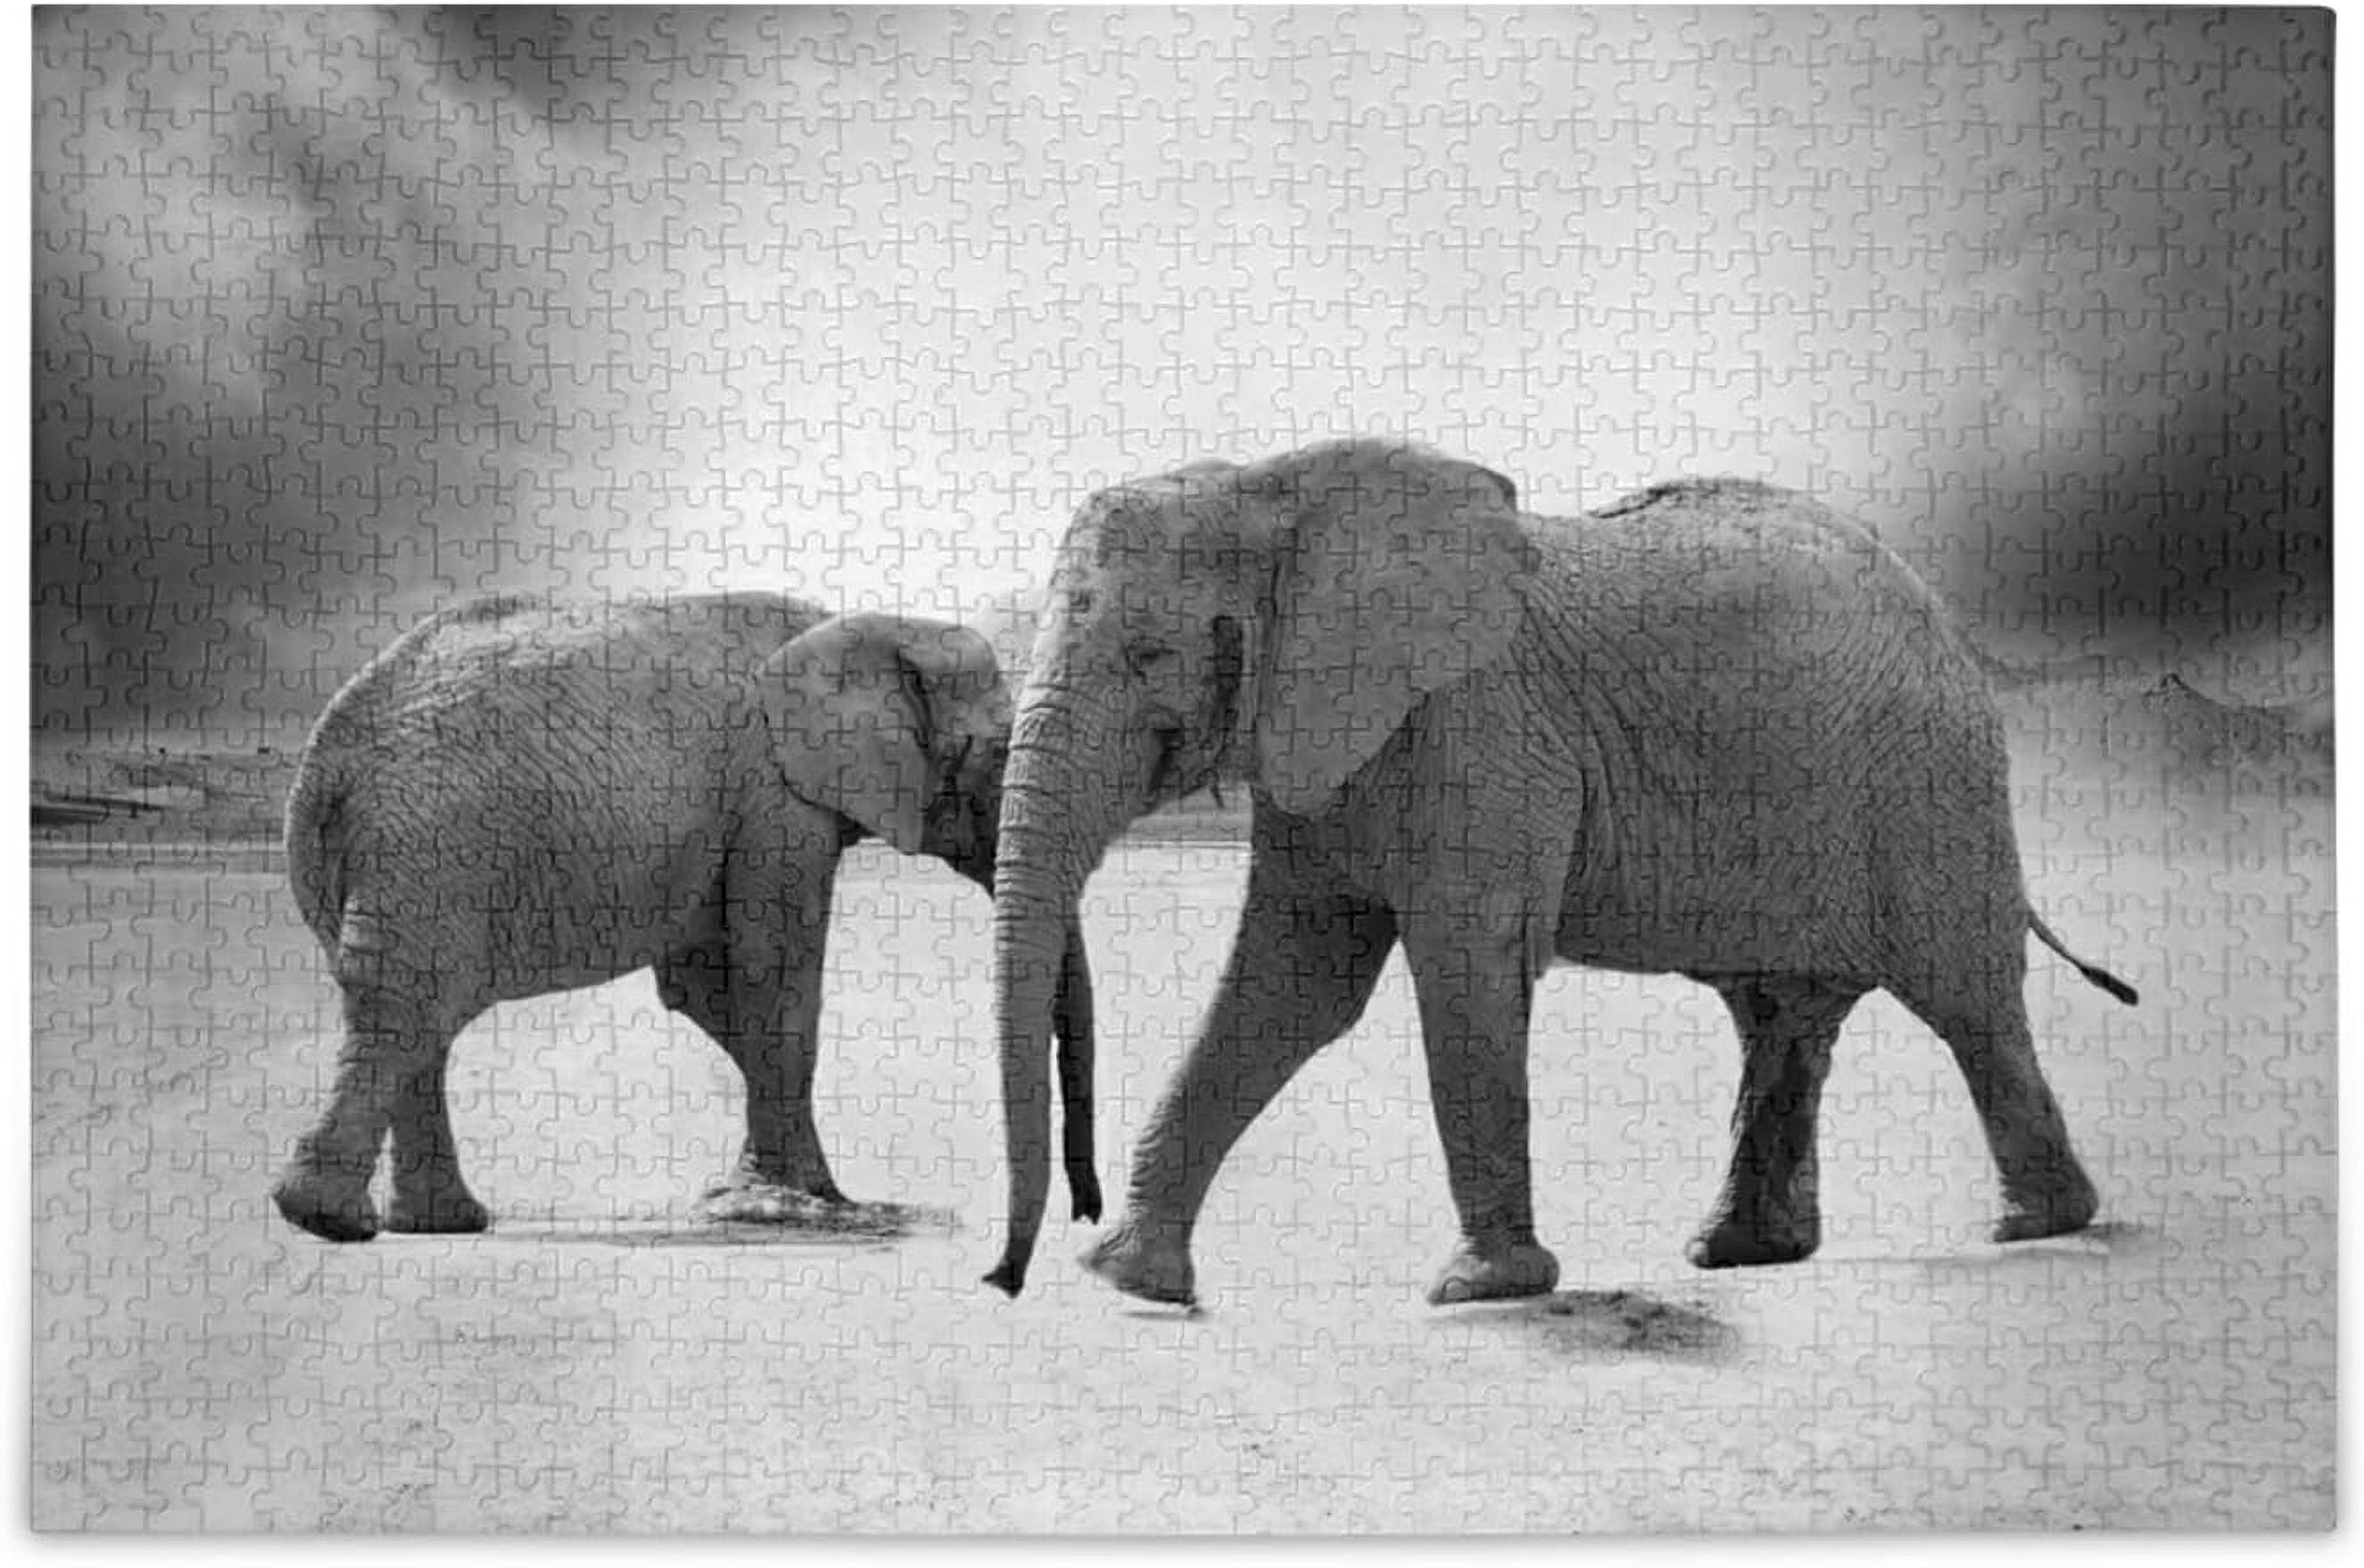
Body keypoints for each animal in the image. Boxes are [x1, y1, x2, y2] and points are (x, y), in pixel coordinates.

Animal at [271, 592, 1100, 1243]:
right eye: (995, 757)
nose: (1085, 1214)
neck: (869, 623)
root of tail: (325, 763)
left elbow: (705, 987)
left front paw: (795, 1193)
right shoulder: (774, 792)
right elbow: (775, 976)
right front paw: (802, 1204)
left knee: (413, 1017)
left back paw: (431, 1224)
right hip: (431, 844)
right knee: (408, 1008)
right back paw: (330, 1220)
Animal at [981, 438, 2136, 1303]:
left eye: (1149, 658)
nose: (1004, 1278)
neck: (1272, 485)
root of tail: (1941, 615)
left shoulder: (1484, 728)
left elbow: (1463, 970)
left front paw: (1484, 1290)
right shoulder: (1326, 745)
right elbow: (1293, 987)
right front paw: (1129, 1278)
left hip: (1930, 781)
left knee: (1963, 998)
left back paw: (2036, 1223)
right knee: (1780, 1017)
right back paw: (1739, 1254)